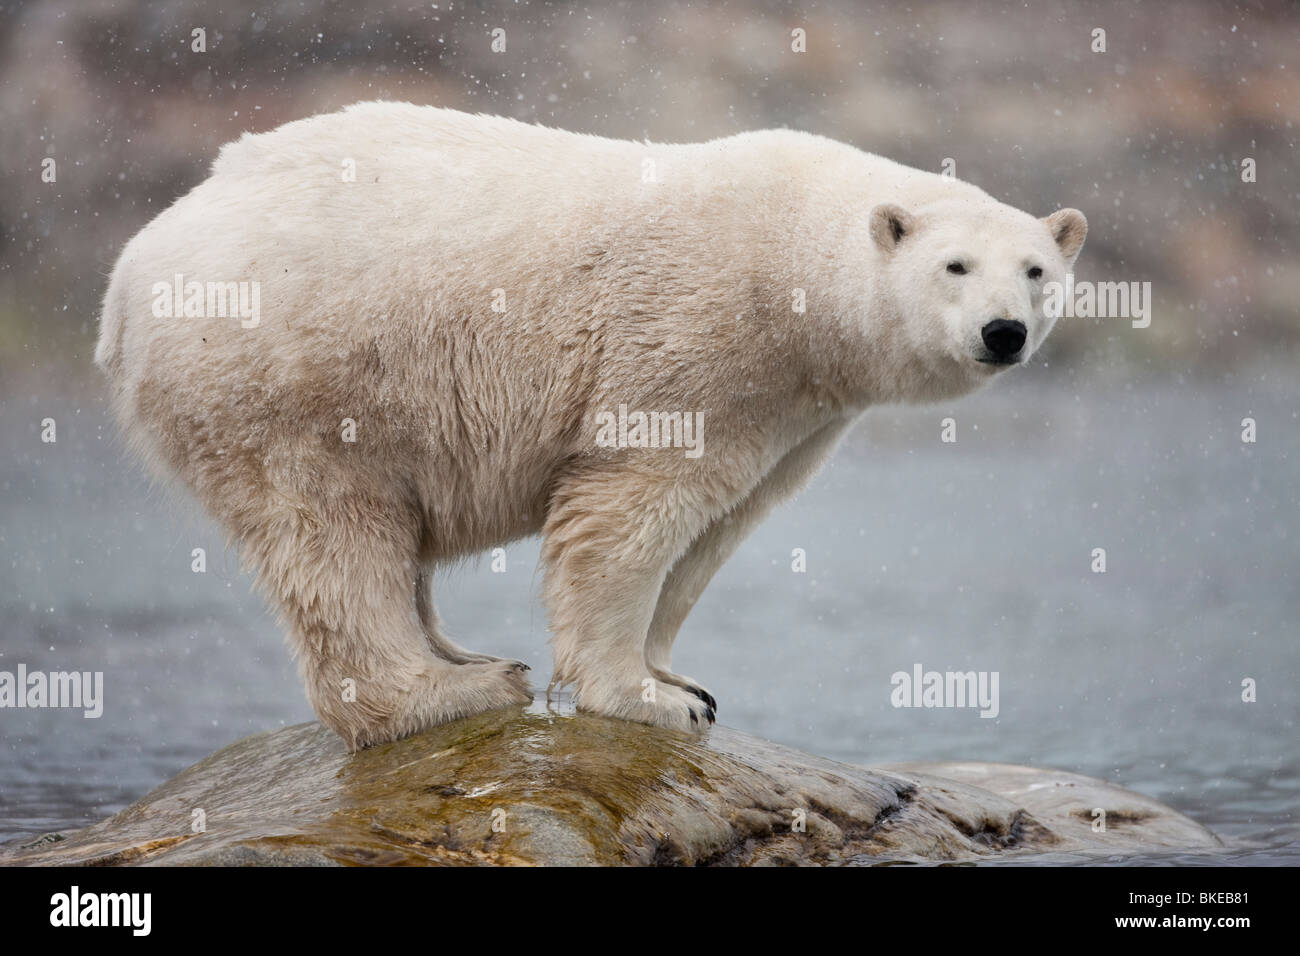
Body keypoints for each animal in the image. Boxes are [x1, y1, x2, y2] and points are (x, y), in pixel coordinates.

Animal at [95, 102, 1086, 748]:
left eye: (1036, 269)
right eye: (956, 265)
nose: (1003, 332)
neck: (793, 273)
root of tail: (130, 274)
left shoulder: (795, 414)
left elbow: (717, 527)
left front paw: (681, 676)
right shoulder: (696, 333)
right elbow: (629, 512)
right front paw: (645, 699)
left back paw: (461, 651)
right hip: (288, 377)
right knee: (334, 536)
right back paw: (457, 688)